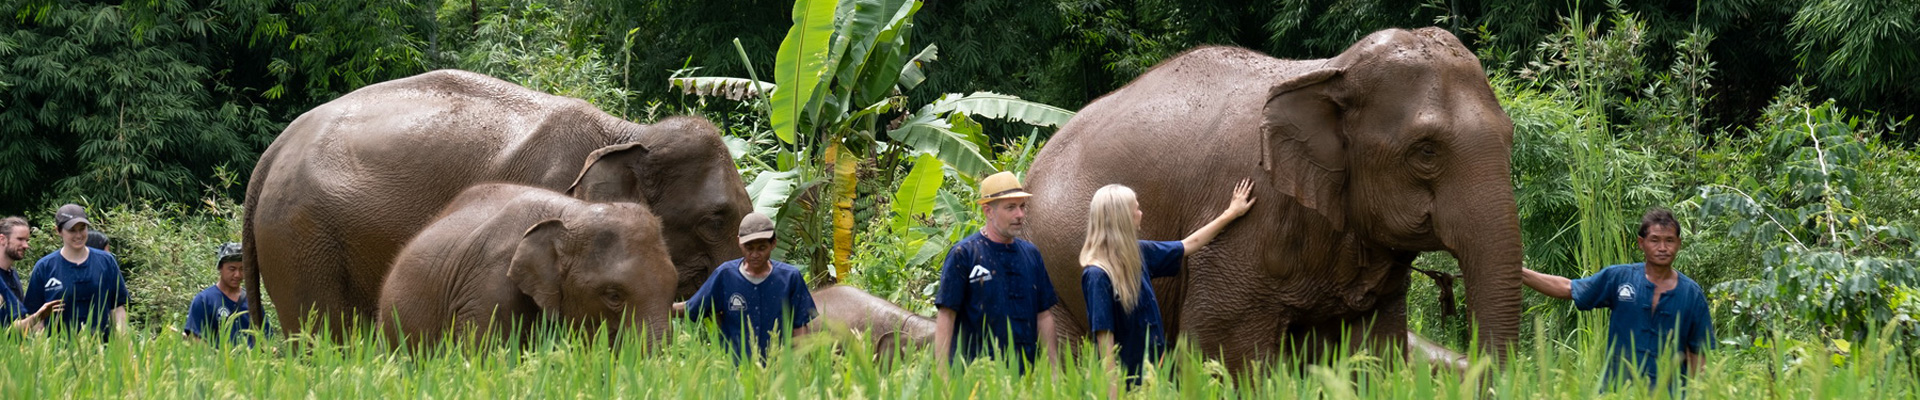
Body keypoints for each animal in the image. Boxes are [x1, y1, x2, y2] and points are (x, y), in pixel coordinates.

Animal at [1024, 28, 1521, 374]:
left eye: (1511, 136)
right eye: (1426, 152)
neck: (1330, 70)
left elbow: (1372, 348)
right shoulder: (1245, 227)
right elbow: (1223, 346)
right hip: (1049, 260)